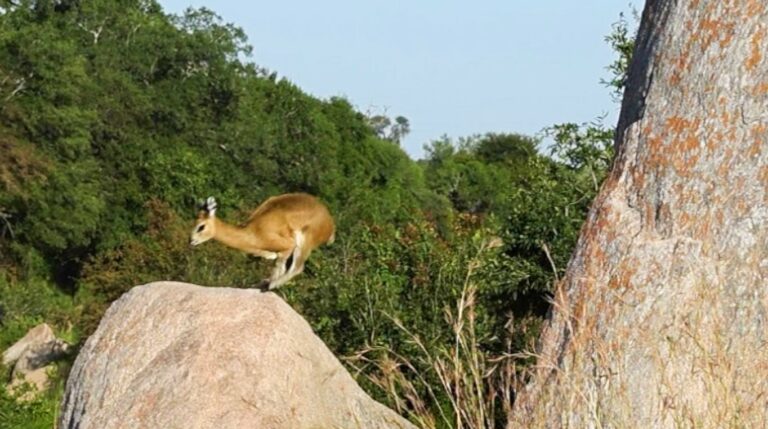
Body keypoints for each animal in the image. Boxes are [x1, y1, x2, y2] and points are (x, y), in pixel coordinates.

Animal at [190, 193, 335, 290]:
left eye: (201, 226)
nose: (191, 240)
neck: (253, 231)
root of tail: (330, 224)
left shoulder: (287, 246)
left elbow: (280, 266)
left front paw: (269, 285)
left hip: (304, 245)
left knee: (298, 268)